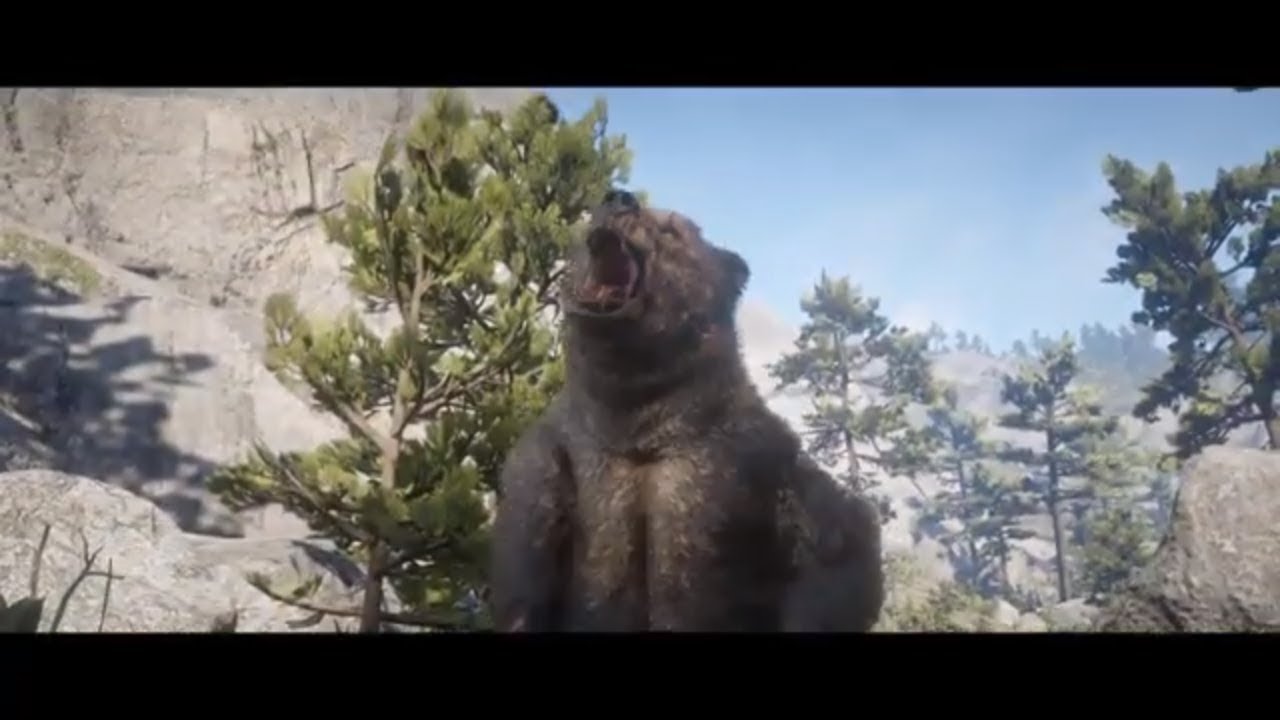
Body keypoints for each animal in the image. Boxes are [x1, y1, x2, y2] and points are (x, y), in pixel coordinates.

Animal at [487, 190, 884, 632]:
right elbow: (526, 554)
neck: (636, 418)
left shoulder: (759, 457)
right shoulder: (556, 452)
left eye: (672, 230)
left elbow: (836, 541)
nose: (619, 198)